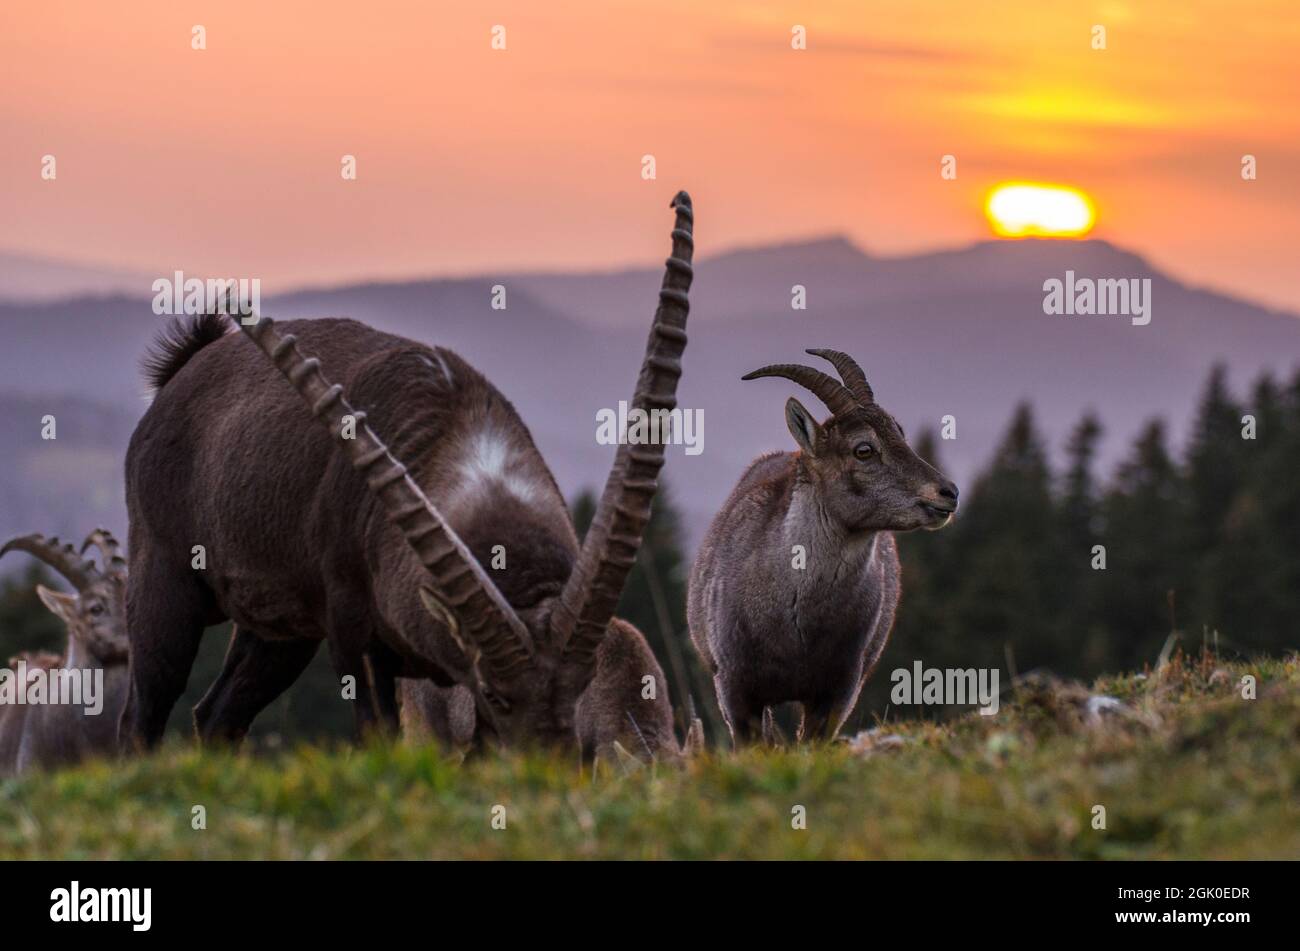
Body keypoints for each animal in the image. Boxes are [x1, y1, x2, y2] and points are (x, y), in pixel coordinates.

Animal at [122, 193, 695, 752]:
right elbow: (376, 732)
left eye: (582, 686)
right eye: (499, 693)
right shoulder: (356, 638)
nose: (550, 767)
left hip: (280, 632)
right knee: (143, 713)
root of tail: (178, 379)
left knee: (217, 715)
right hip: (165, 584)